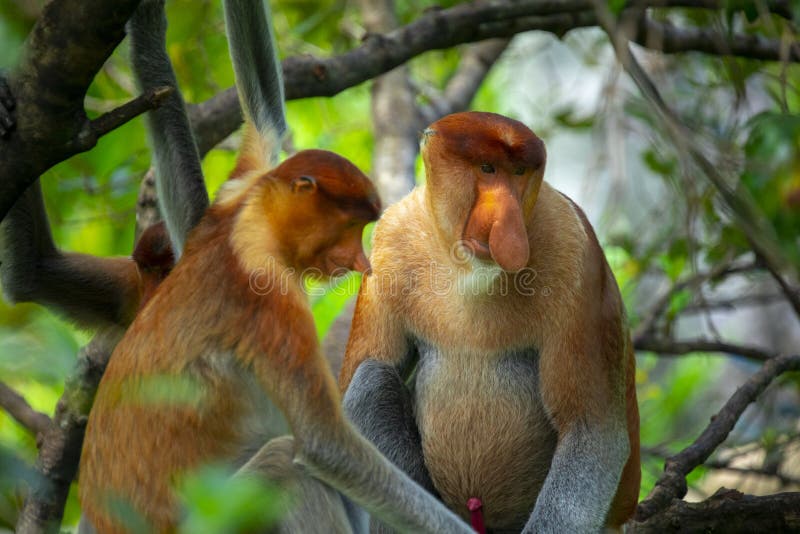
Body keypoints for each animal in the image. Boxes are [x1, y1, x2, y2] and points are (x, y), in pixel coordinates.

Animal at [340, 111, 641, 533]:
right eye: (487, 168)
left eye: (518, 173)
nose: (507, 220)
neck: (468, 268)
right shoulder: (391, 240)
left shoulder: (574, 249)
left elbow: (591, 428)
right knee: (369, 377)